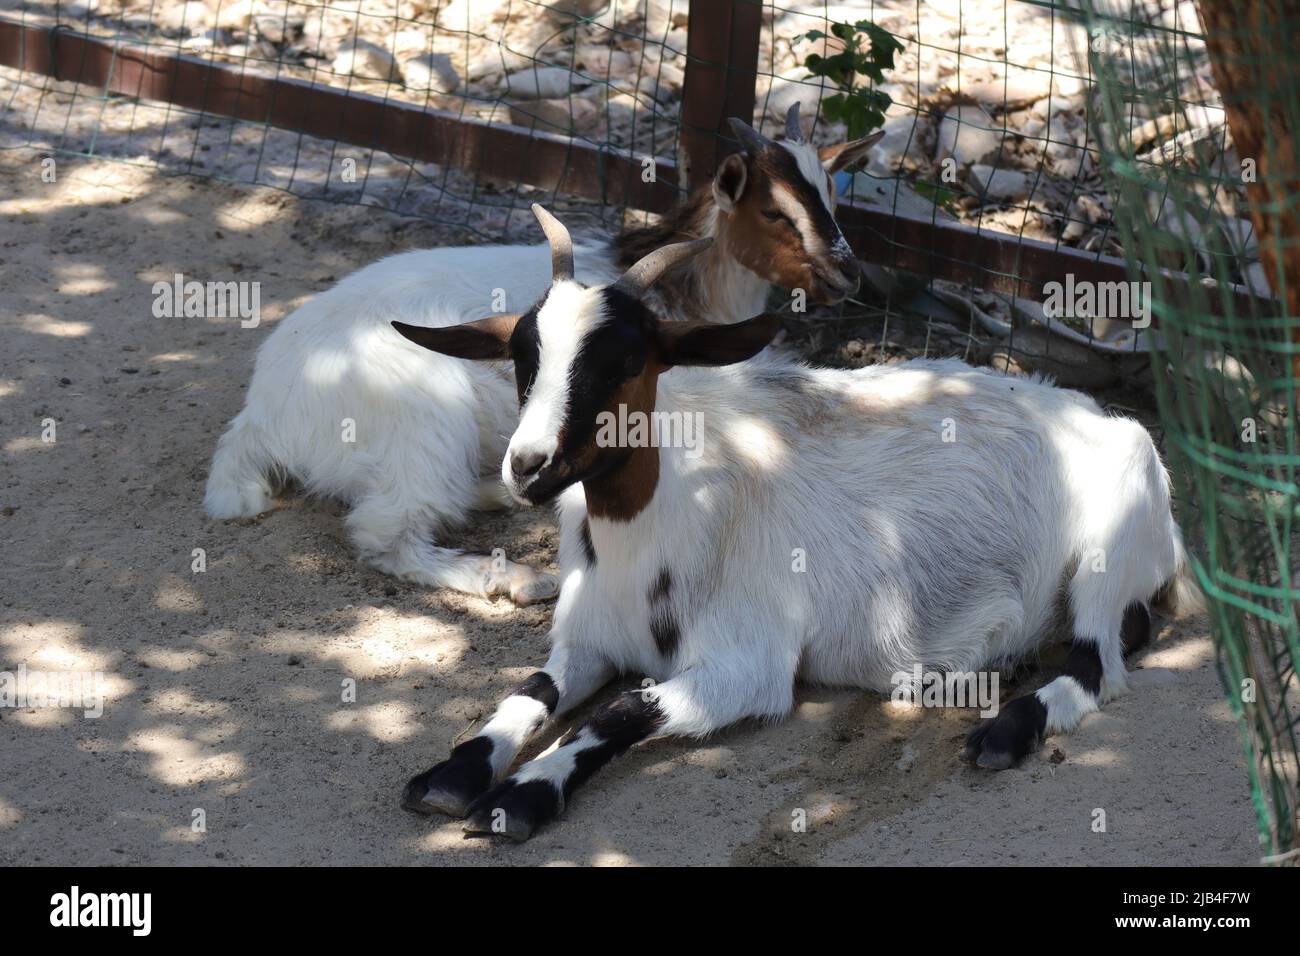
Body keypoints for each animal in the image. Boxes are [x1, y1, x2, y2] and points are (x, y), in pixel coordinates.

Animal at [202, 105, 882, 604]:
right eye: (772, 211)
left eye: (831, 199)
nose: (848, 275)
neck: (684, 287)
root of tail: (260, 415)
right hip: (423, 419)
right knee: (386, 531)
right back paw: (513, 577)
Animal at [394, 207, 1203, 841]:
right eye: (522, 357)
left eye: (626, 361)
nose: (528, 465)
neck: (654, 534)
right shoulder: (587, 639)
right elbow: (532, 689)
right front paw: (450, 774)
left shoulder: (748, 665)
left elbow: (624, 708)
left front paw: (524, 797)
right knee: (1129, 630)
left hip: (1108, 539)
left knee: (1100, 661)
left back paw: (1004, 731)